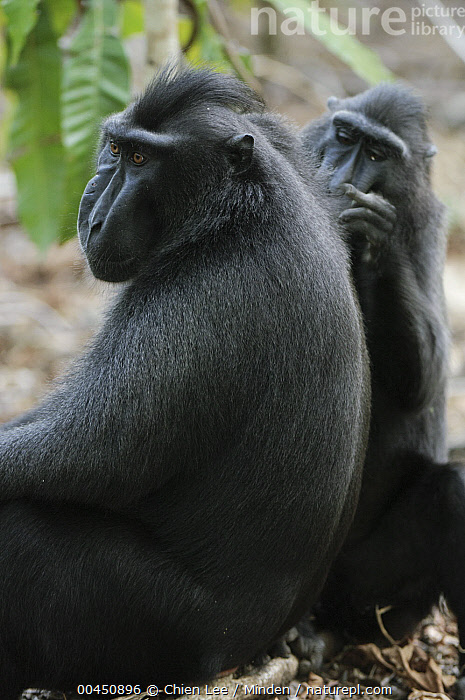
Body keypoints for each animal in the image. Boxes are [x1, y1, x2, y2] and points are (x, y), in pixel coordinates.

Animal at [0, 67, 370, 699]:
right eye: (116, 149)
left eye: (141, 159)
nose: (93, 206)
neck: (241, 209)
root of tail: (246, 647)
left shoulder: (197, 300)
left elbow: (90, 455)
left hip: (159, 623)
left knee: (19, 534)